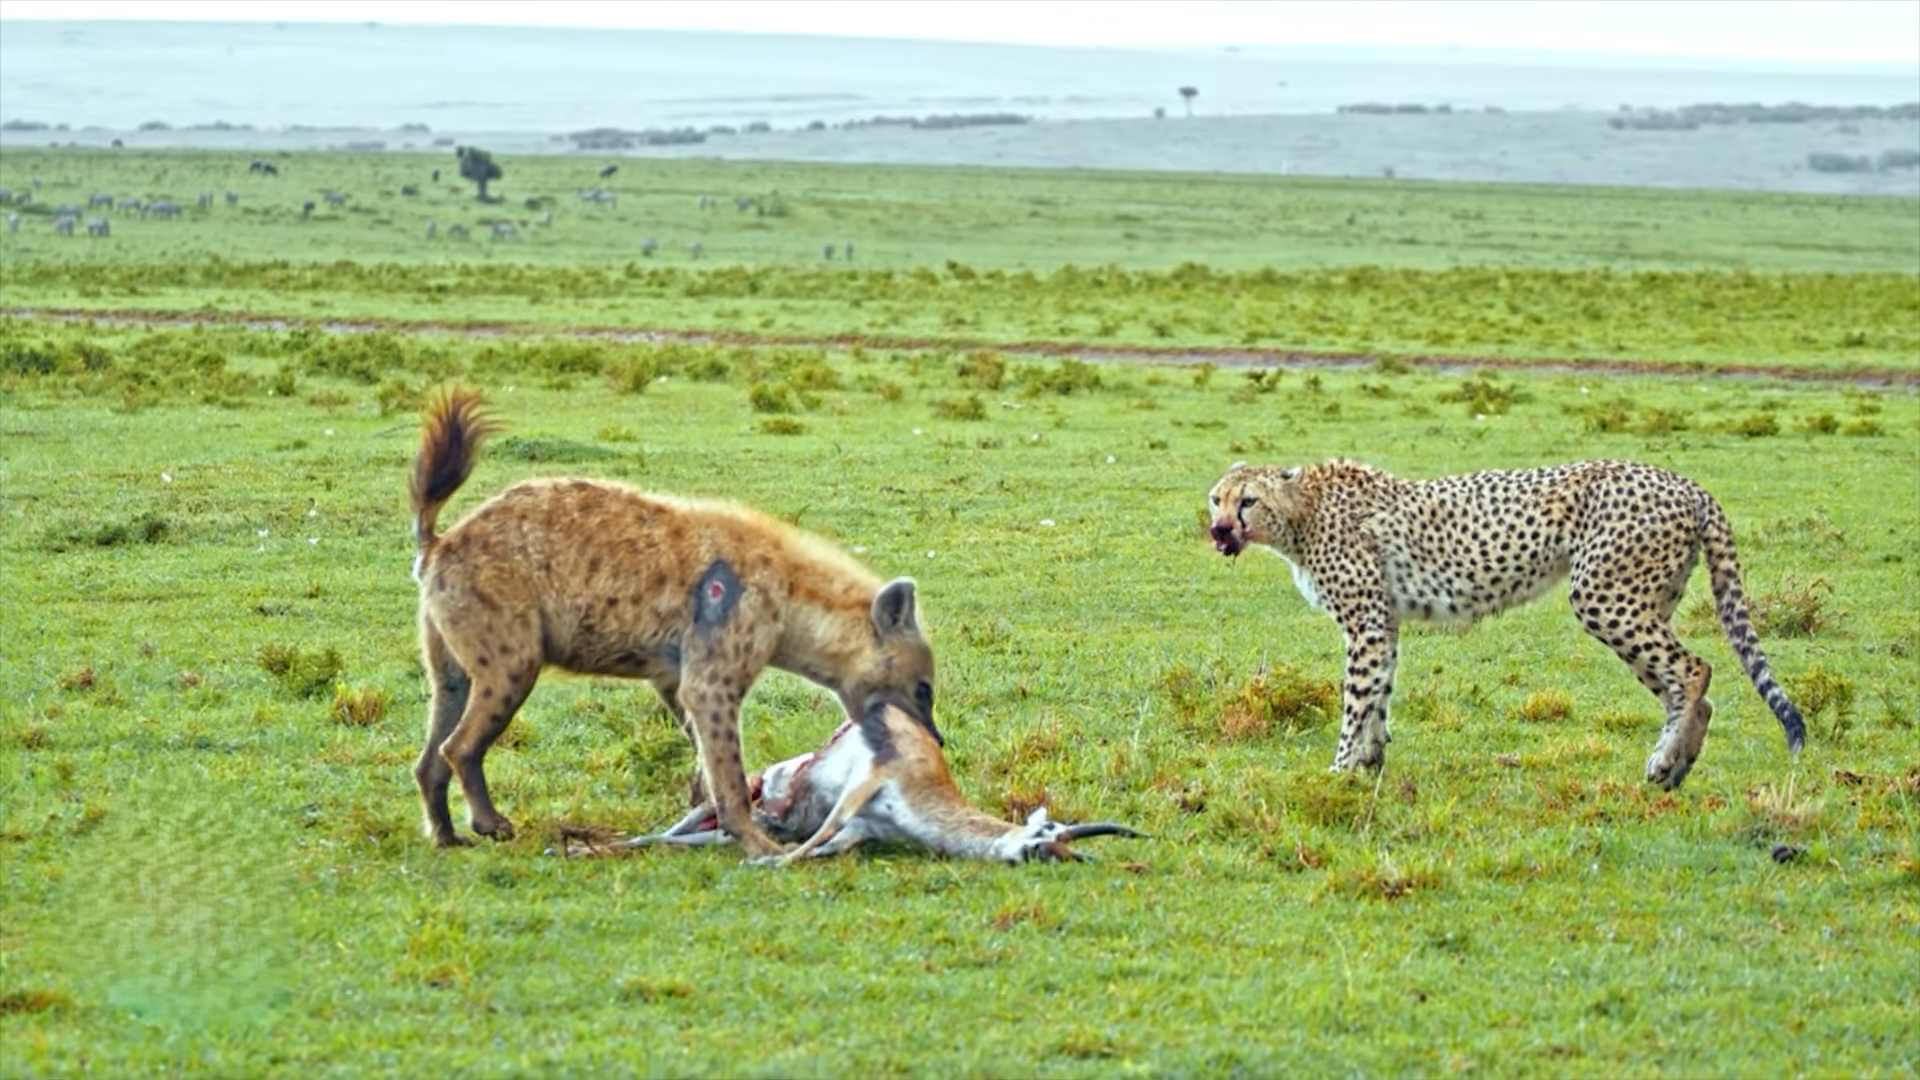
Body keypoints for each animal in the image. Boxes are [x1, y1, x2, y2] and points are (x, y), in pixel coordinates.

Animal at [409, 388, 936, 857]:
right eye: (925, 688)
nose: (937, 738)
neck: (792, 598)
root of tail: (441, 542)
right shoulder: (717, 664)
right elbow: (726, 766)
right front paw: (759, 844)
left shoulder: (674, 673)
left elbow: (703, 753)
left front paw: (704, 815)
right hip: (510, 649)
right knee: (460, 744)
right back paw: (490, 824)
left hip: (448, 653)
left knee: (435, 738)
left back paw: (447, 837)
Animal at [1207, 458, 1805, 789]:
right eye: (1217, 499)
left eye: (1248, 500)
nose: (1218, 529)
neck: (1301, 512)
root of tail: (1683, 482)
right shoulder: (1383, 624)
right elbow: (1379, 695)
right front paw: (1370, 761)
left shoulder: (1367, 622)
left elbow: (1356, 702)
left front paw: (1338, 770)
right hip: (1642, 600)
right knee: (1688, 690)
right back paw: (1675, 768)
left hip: (1604, 595)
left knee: (1695, 671)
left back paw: (1664, 761)